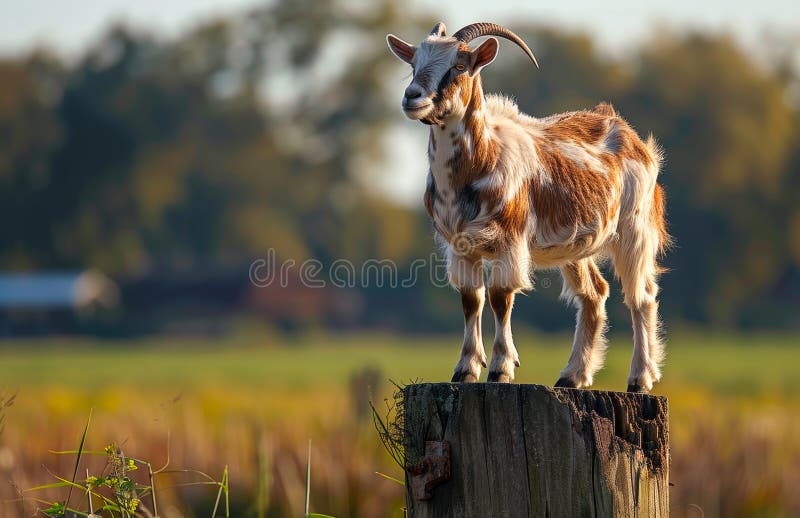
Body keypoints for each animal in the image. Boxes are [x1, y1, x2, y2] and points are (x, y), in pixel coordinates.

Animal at [386, 22, 670, 392]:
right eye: (413, 63)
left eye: (460, 65)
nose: (412, 96)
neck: (481, 159)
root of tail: (628, 132)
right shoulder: (460, 246)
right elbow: (471, 299)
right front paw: (465, 370)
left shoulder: (510, 239)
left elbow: (500, 296)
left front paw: (501, 369)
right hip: (575, 244)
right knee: (594, 293)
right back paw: (571, 376)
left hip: (635, 227)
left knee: (641, 296)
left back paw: (640, 378)